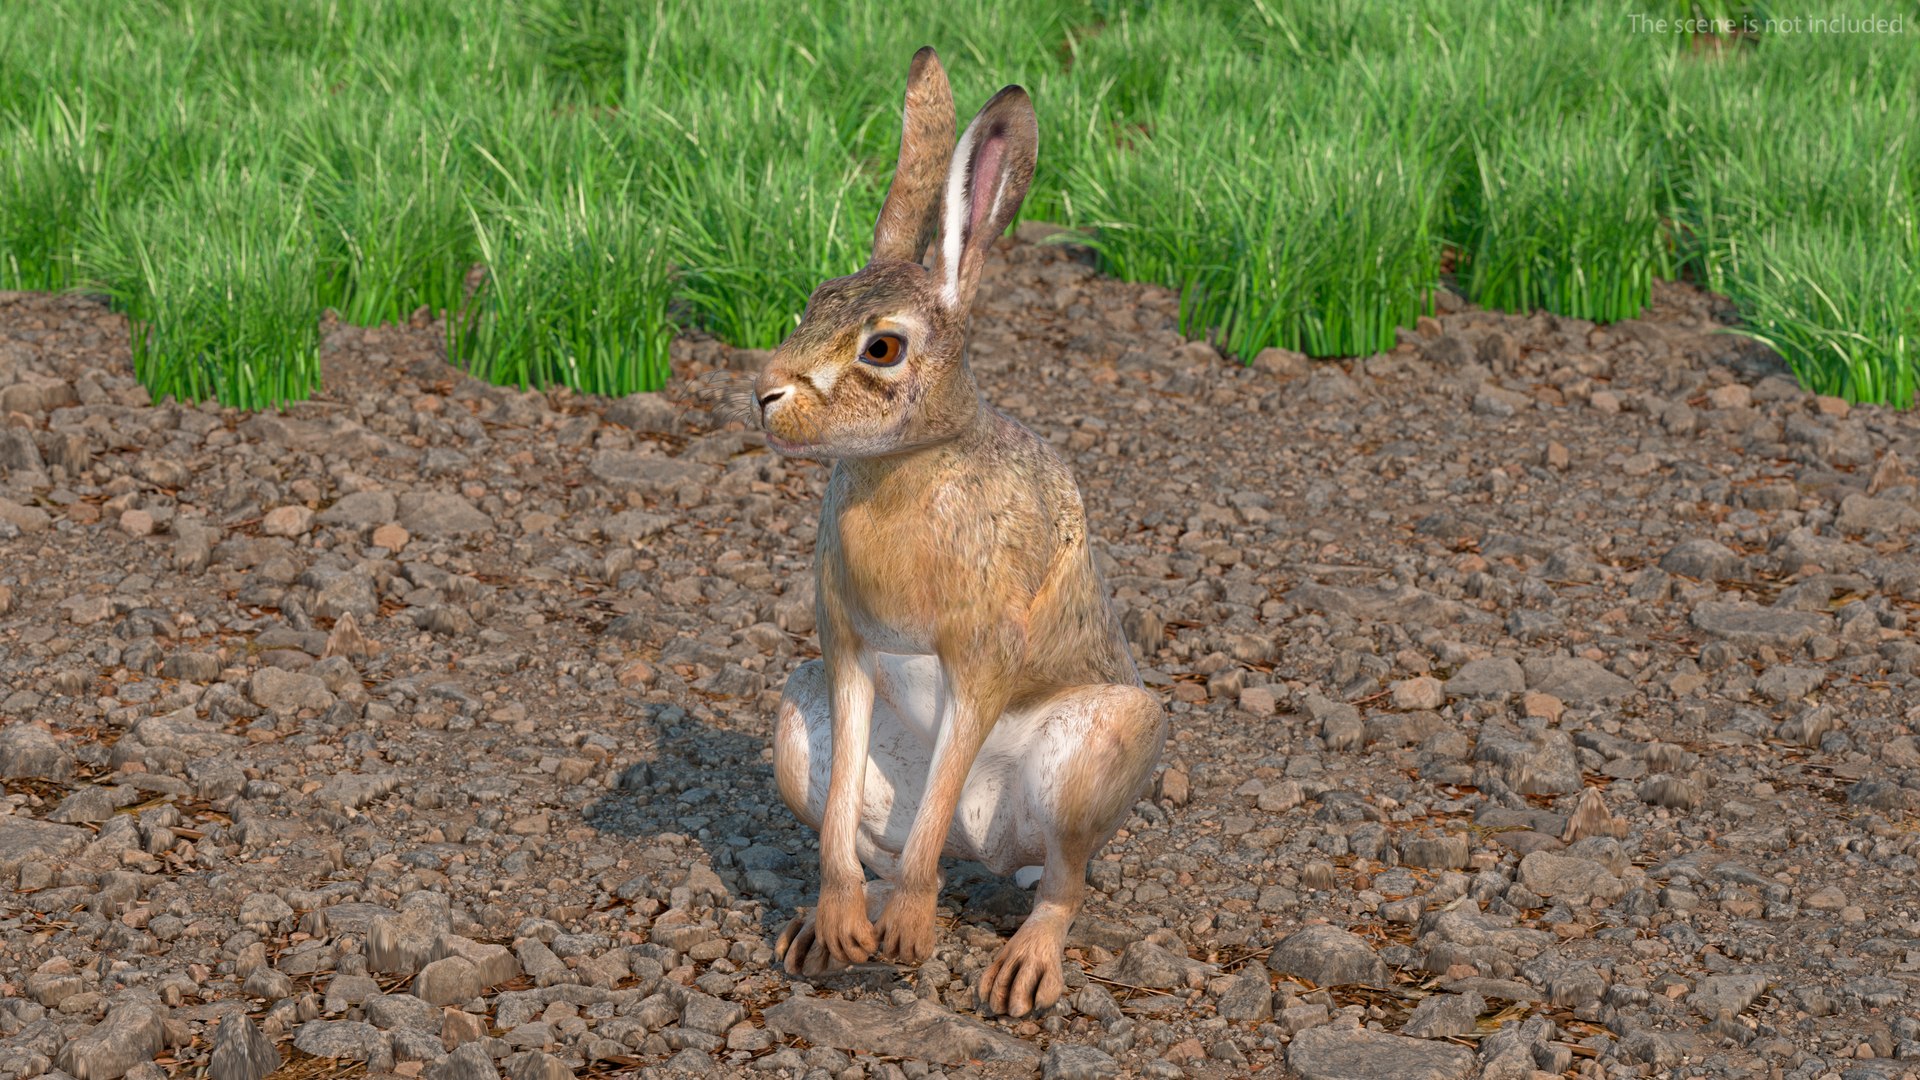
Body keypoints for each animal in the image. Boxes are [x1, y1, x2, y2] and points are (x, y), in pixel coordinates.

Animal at [752, 46, 1166, 1019]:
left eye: (882, 349)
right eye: (815, 301)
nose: (765, 394)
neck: (909, 466)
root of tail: (986, 850)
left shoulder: (981, 652)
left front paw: (907, 938)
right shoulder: (845, 649)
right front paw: (849, 926)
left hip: (1099, 749)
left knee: (1059, 881)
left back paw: (1017, 972)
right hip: (795, 729)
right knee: (879, 841)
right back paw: (825, 932)